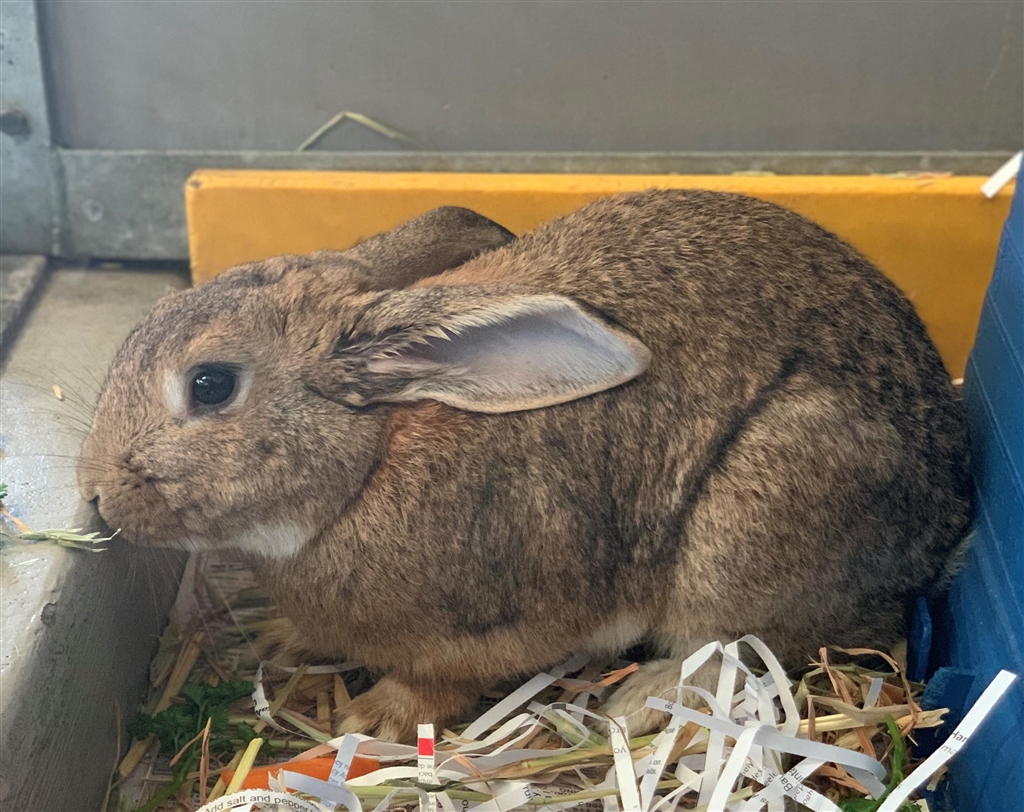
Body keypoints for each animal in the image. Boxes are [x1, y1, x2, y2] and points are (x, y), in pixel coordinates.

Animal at [78, 190, 972, 743]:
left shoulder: (489, 635)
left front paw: (368, 721)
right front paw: (282, 634)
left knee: (742, 646)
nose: (96, 495)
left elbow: (436, 684)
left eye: (210, 385)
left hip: (757, 519)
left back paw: (639, 700)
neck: (368, 461)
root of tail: (949, 521)